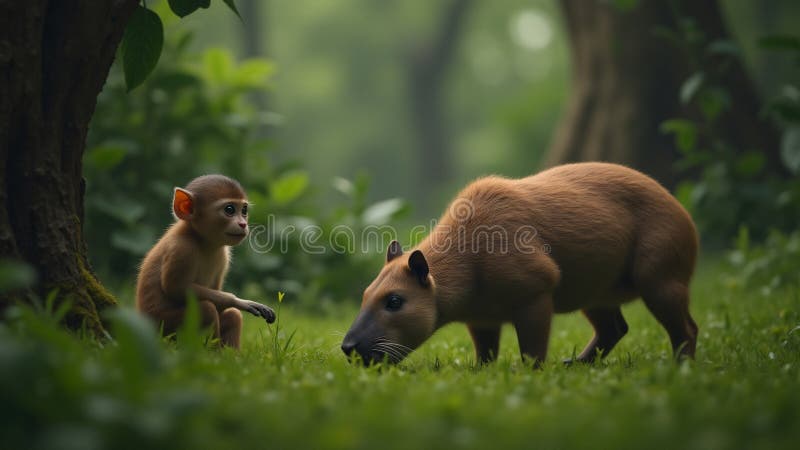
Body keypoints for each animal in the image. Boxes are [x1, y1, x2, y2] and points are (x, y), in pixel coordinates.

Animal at [136, 174, 275, 349]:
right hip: (164, 329)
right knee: (206, 309)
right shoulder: (182, 249)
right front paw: (239, 301)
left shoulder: (224, 255)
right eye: (229, 209)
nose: (243, 224)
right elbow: (175, 288)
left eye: (244, 211)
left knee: (232, 315)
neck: (201, 240)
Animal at [342, 162, 698, 366]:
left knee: (687, 329)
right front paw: (481, 372)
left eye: (394, 301)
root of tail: (688, 220)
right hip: (595, 293)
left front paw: (531, 374)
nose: (348, 346)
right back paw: (575, 362)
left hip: (659, 277)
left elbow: (533, 349)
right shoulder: (480, 317)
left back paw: (681, 366)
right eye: (364, 294)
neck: (470, 255)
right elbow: (485, 353)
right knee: (615, 328)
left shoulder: (536, 291)